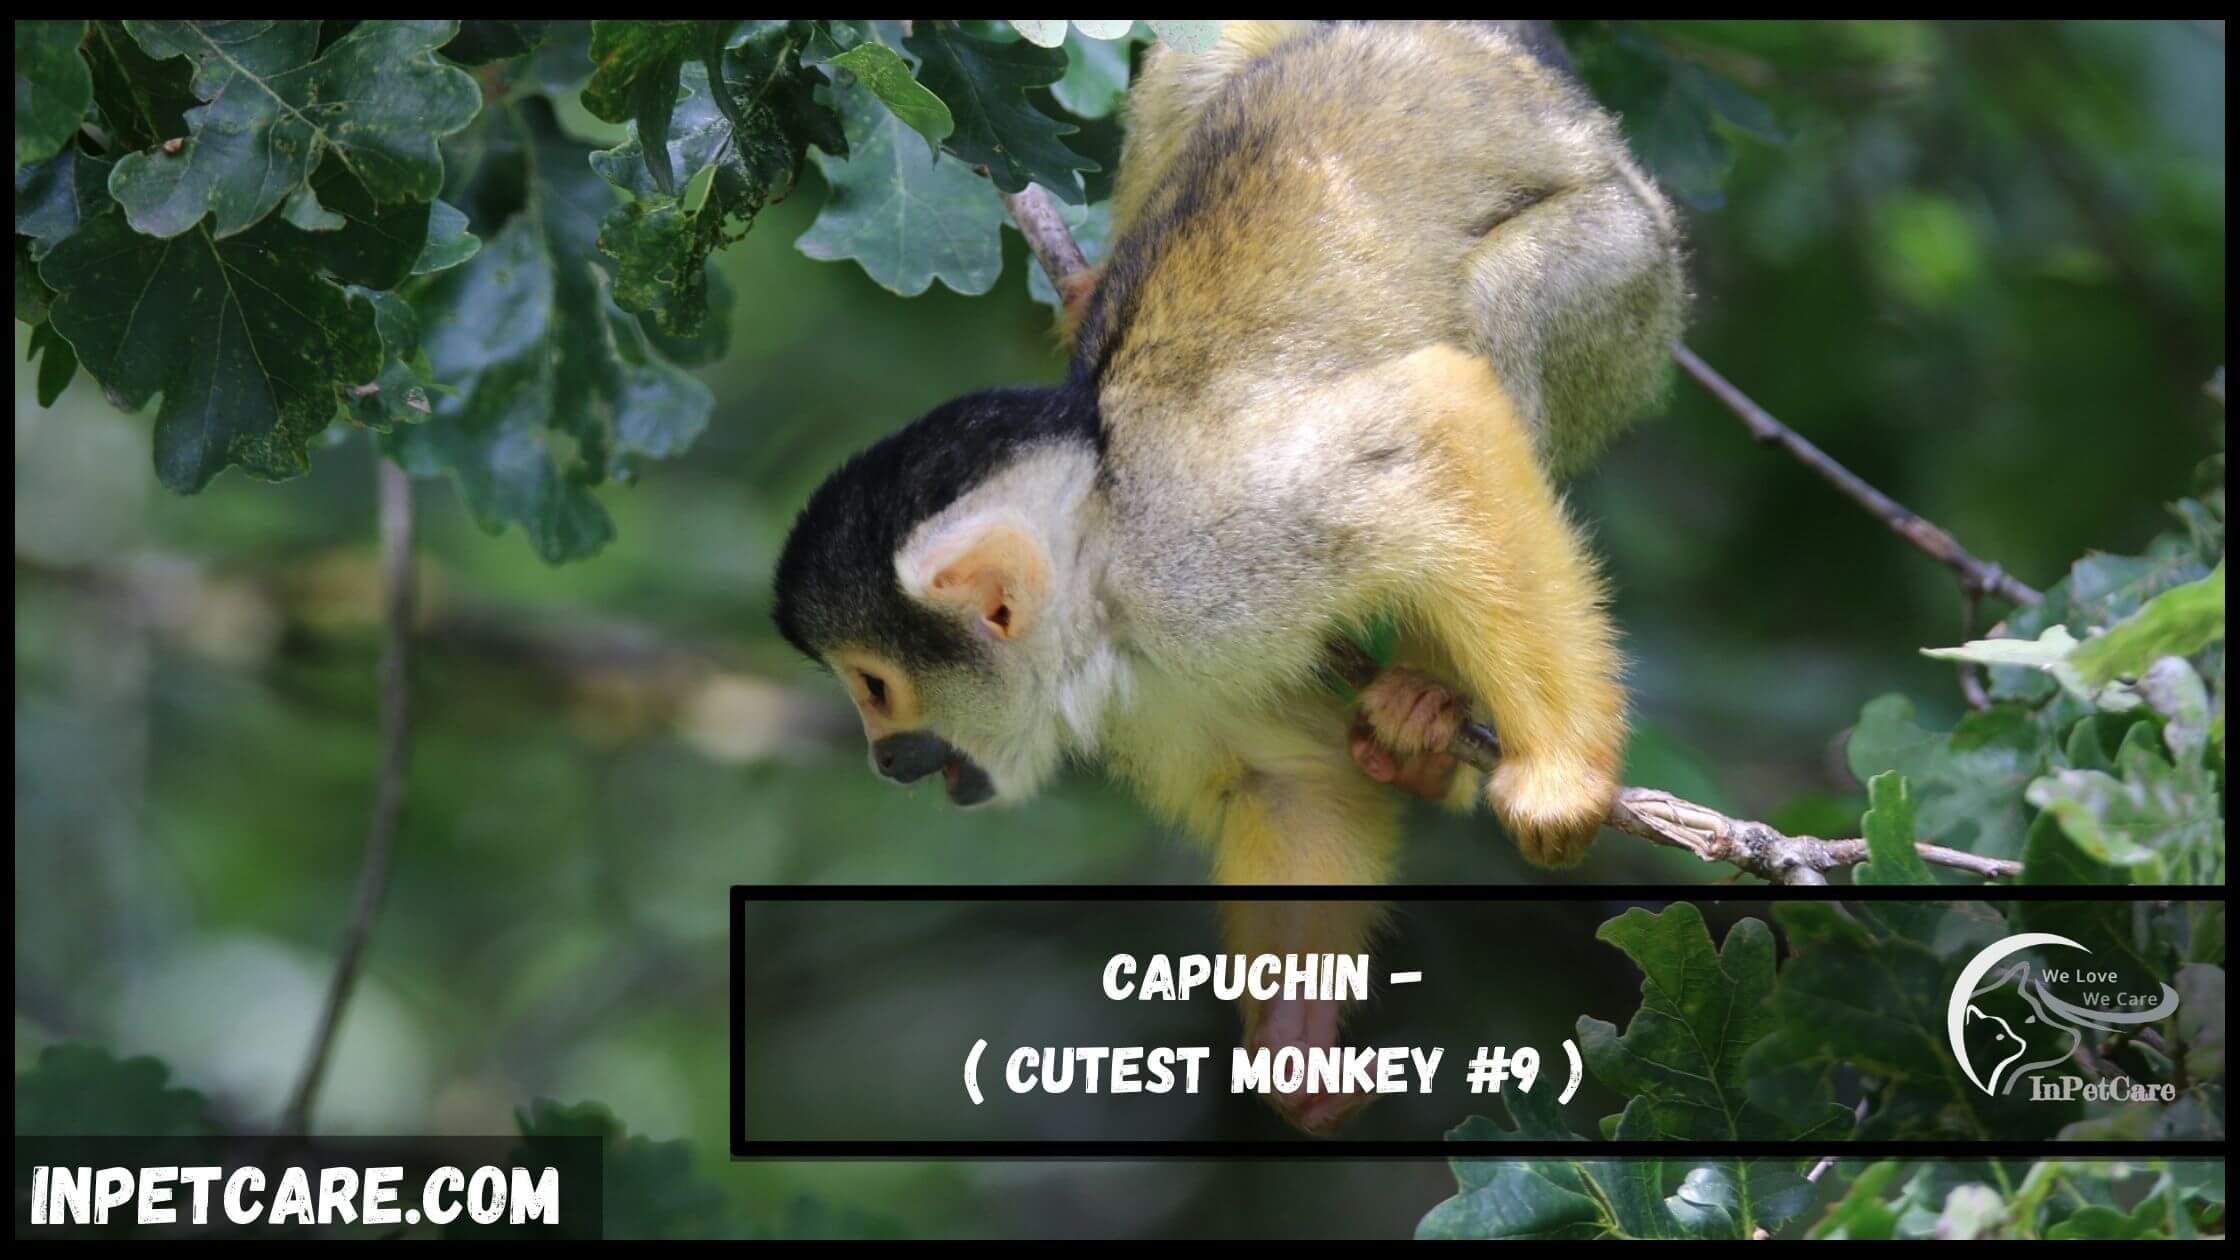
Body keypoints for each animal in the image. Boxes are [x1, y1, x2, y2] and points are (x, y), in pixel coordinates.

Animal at [773, 20, 1684, 1132]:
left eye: (873, 686)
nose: (884, 758)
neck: (1105, 574)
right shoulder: (1164, 682)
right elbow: (1290, 780)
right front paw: (1295, 1050)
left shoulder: (1204, 556)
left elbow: (1434, 422)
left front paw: (1559, 777)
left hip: (1629, 267)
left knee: (1501, 310)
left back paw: (1432, 700)